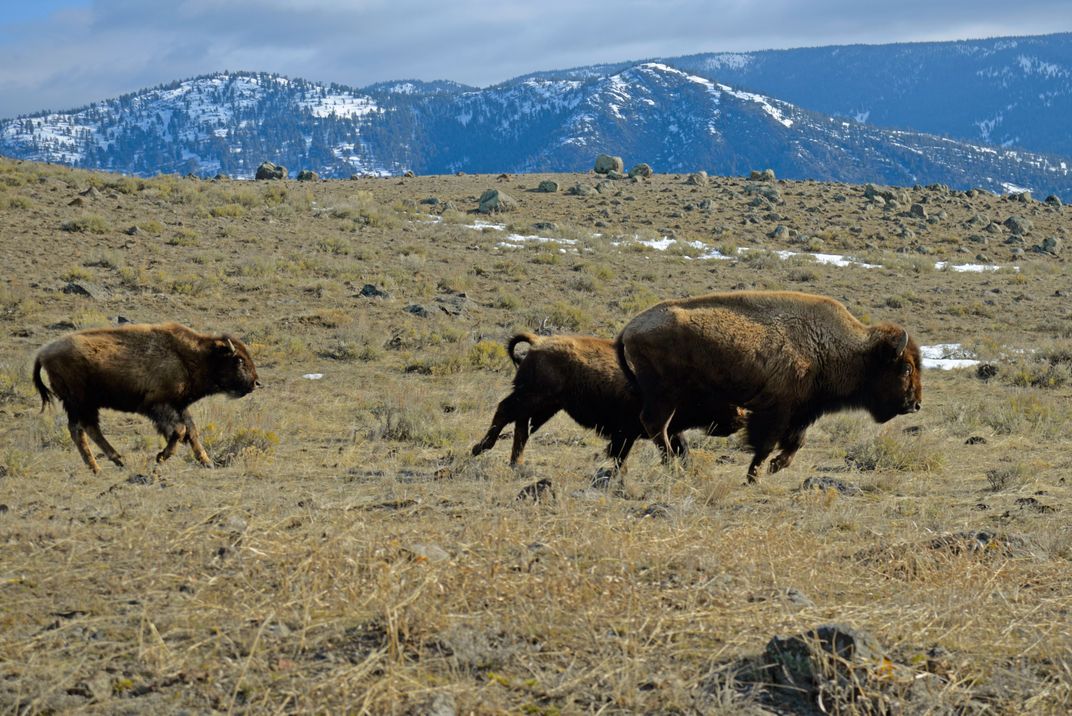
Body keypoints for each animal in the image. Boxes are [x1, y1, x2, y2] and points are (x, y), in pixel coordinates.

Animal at [33, 322, 260, 473]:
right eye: (239, 360)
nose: (257, 383)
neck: (191, 357)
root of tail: (43, 353)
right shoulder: (158, 405)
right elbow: (180, 430)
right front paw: (161, 457)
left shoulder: (179, 406)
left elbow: (191, 431)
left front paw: (207, 462)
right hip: (80, 402)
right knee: (81, 429)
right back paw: (101, 466)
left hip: (83, 405)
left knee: (84, 429)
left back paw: (113, 462)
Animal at [471, 332, 745, 471]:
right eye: (722, 396)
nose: (740, 419)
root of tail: (538, 343)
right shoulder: (632, 430)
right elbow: (622, 454)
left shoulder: (660, 430)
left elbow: (681, 450)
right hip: (534, 398)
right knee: (505, 412)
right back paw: (480, 448)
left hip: (545, 406)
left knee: (522, 427)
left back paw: (516, 463)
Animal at [616, 290, 921, 483]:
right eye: (906, 368)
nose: (915, 404)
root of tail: (629, 328)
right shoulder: (777, 411)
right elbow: (766, 445)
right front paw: (755, 476)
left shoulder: (801, 412)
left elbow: (795, 443)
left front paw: (775, 467)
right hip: (664, 395)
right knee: (657, 426)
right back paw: (674, 468)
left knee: (664, 429)